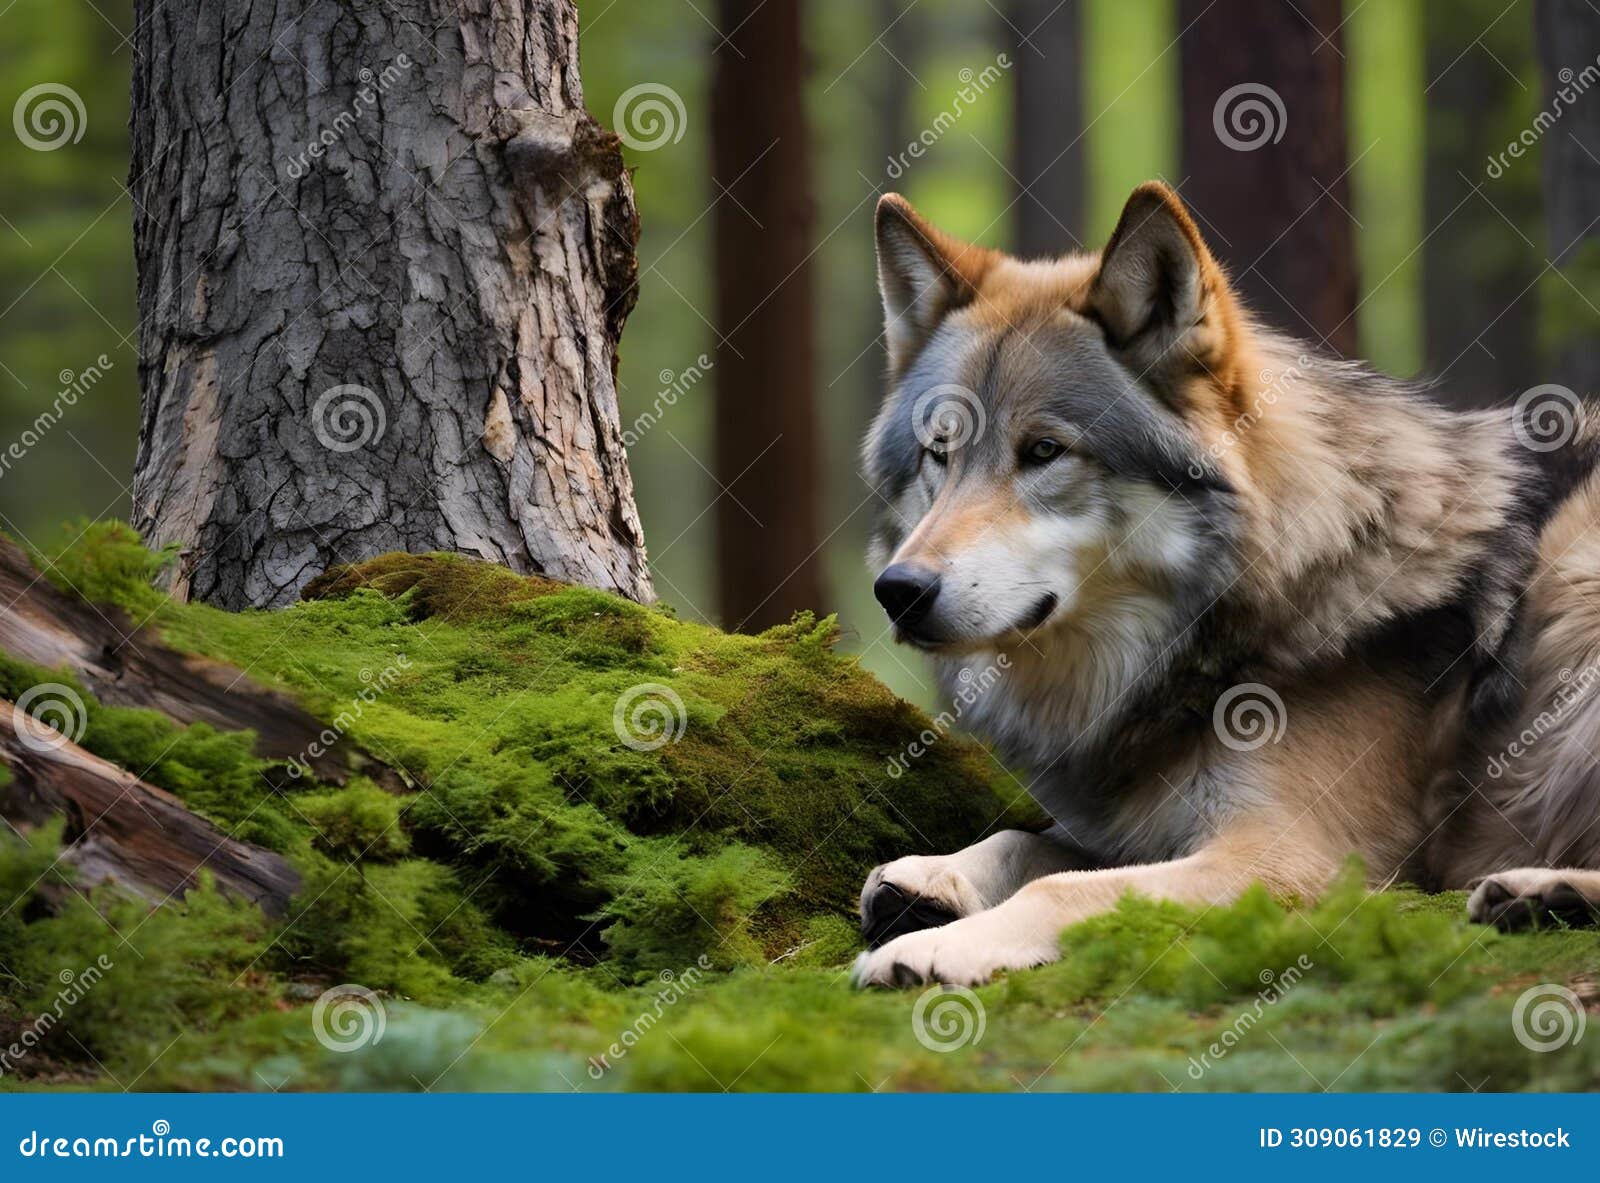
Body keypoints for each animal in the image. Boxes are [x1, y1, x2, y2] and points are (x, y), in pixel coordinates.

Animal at [852, 181, 1600, 988]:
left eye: (1045, 451)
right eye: (939, 452)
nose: (899, 590)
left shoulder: (1290, 858)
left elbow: (1060, 887)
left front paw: (931, 947)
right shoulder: (1140, 823)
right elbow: (1024, 839)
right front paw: (929, 880)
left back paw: (1541, 887)